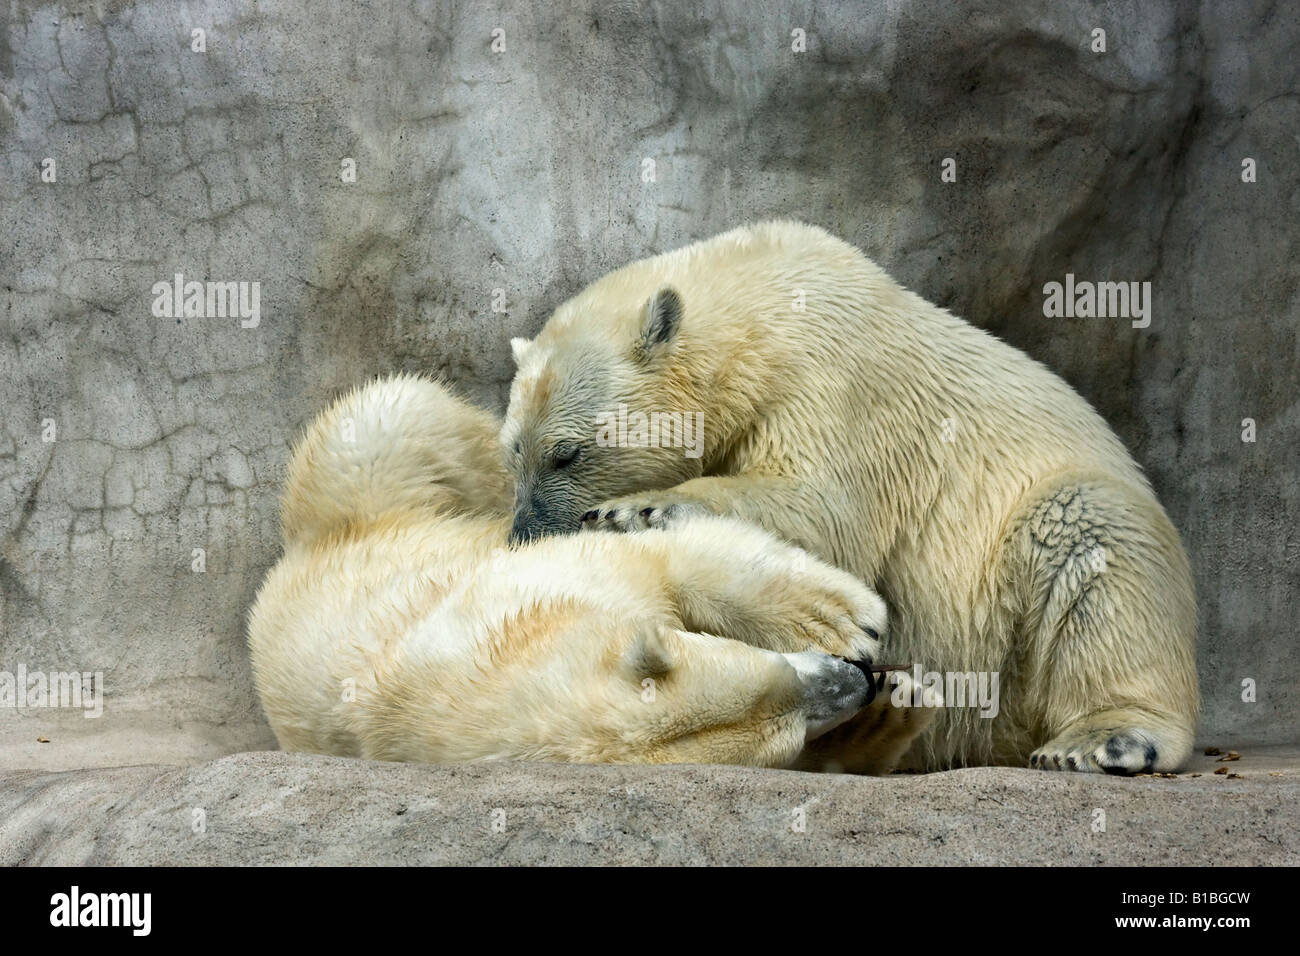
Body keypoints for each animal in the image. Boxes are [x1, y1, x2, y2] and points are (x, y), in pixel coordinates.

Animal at [248, 373, 939, 769]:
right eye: (784, 738)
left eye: (758, 663)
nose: (853, 682)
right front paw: (888, 711)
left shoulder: (534, 585)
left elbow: (667, 559)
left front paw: (845, 621)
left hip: (370, 483)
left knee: (400, 416)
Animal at [502, 220, 1199, 775]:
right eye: (513, 453)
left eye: (567, 452)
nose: (521, 537)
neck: (762, 306)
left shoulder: (833, 379)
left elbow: (825, 506)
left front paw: (636, 507)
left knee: (1093, 537)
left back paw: (1105, 737)